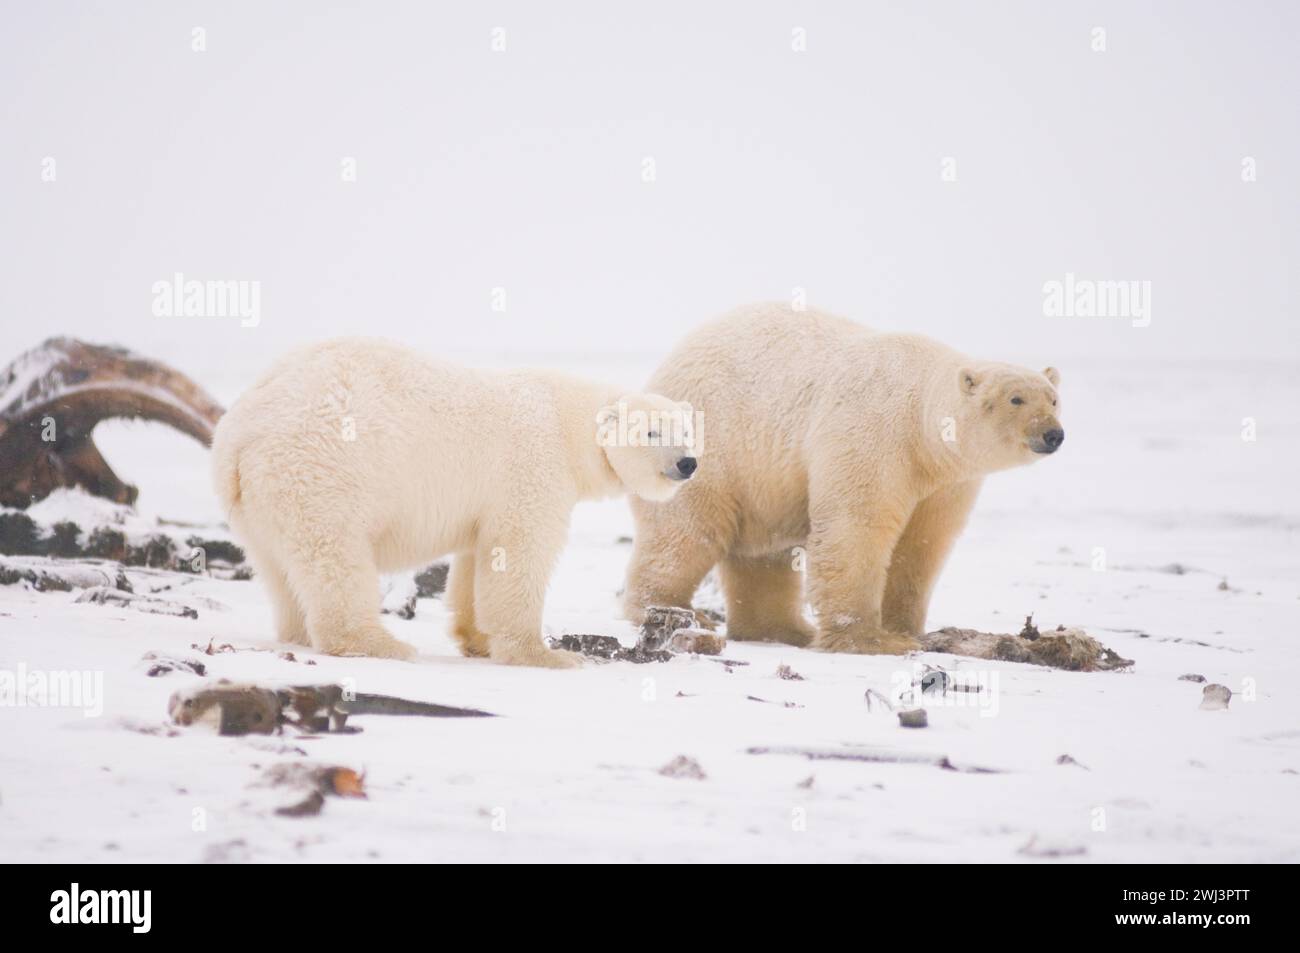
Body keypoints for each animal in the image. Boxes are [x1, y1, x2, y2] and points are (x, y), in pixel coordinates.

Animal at [211, 338, 697, 667]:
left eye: (687, 430)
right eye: (652, 431)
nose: (687, 463)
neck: (566, 420)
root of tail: (239, 433)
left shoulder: (487, 499)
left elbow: (476, 557)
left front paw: (476, 639)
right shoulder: (533, 464)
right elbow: (520, 550)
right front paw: (549, 655)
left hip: (257, 501)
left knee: (277, 569)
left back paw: (297, 633)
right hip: (320, 470)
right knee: (335, 557)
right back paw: (381, 643)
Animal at [622, 302, 1063, 655]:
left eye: (1054, 398)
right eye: (1016, 399)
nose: (1053, 434)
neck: (919, 423)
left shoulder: (946, 481)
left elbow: (923, 543)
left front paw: (906, 629)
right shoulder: (875, 431)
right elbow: (857, 526)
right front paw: (871, 640)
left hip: (761, 484)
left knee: (764, 556)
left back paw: (787, 629)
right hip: (712, 449)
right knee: (685, 533)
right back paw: (675, 611)